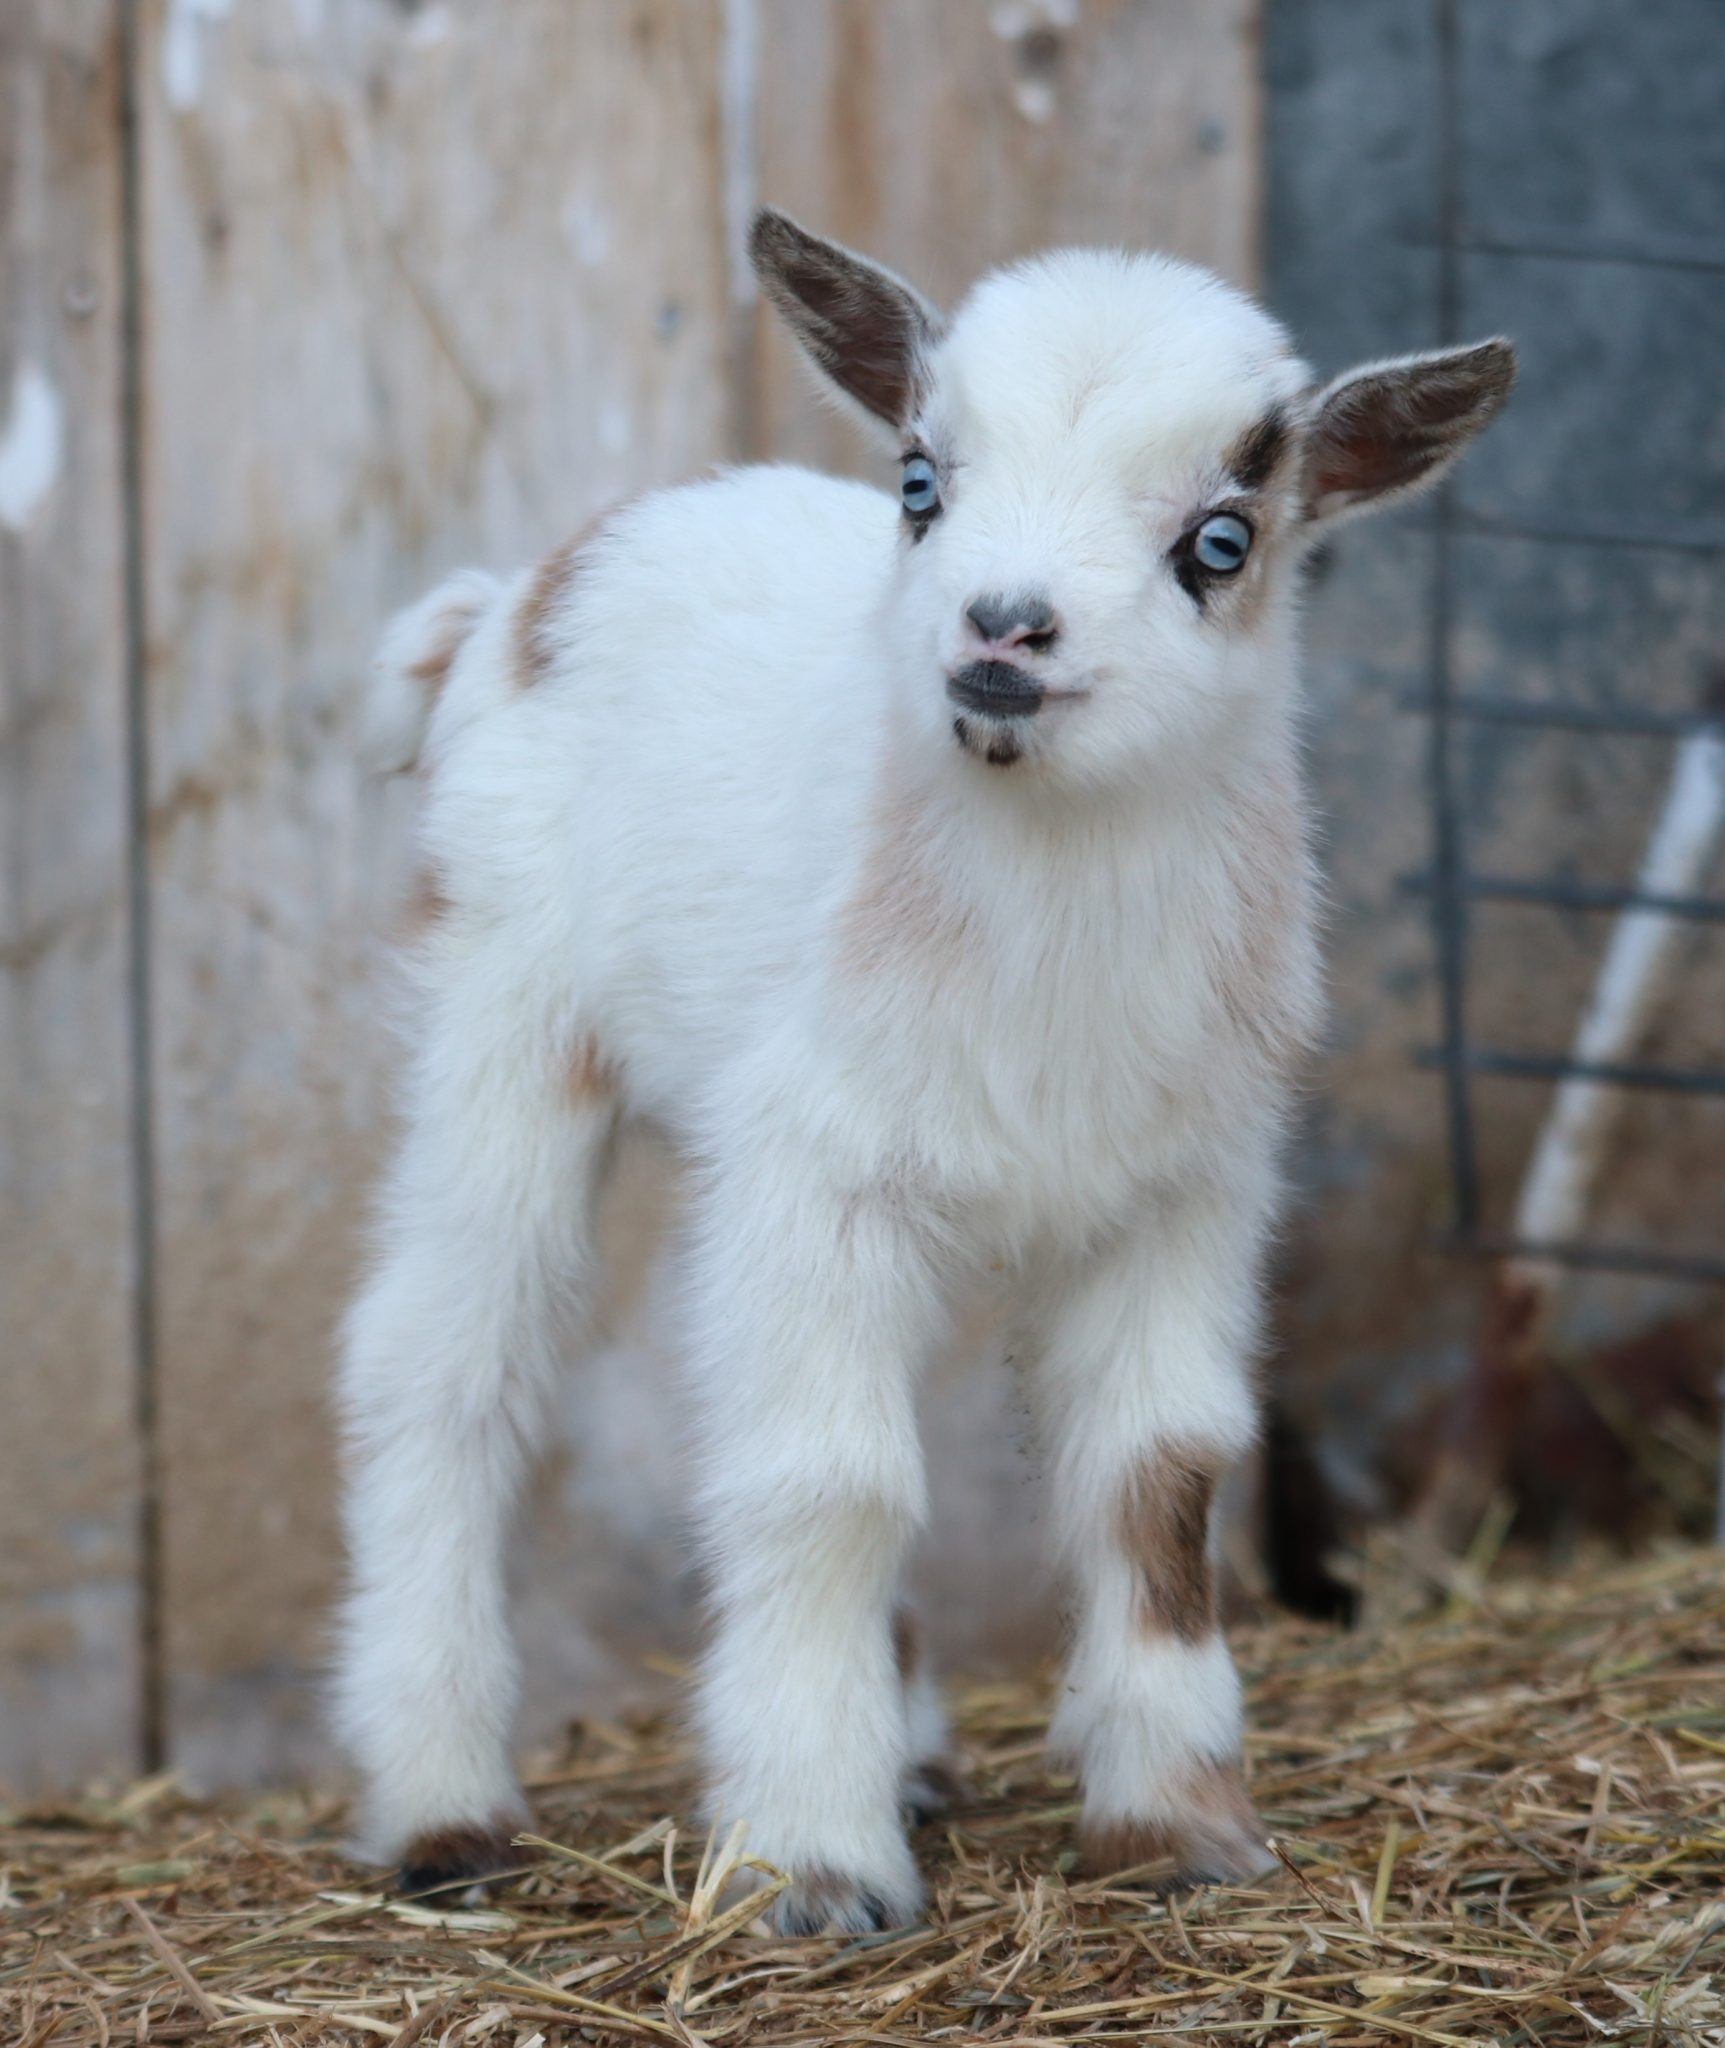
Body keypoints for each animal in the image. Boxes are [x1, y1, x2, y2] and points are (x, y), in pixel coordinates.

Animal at [333, 209, 1514, 1931]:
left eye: (1222, 542)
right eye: (919, 483)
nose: (1003, 627)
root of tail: (526, 590)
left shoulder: (1182, 1190)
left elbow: (1161, 1477)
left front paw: (1182, 1828)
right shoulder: (814, 1171)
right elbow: (832, 1483)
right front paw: (813, 1869)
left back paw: (903, 1752)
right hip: (501, 1006)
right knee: (445, 1359)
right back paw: (440, 1807)